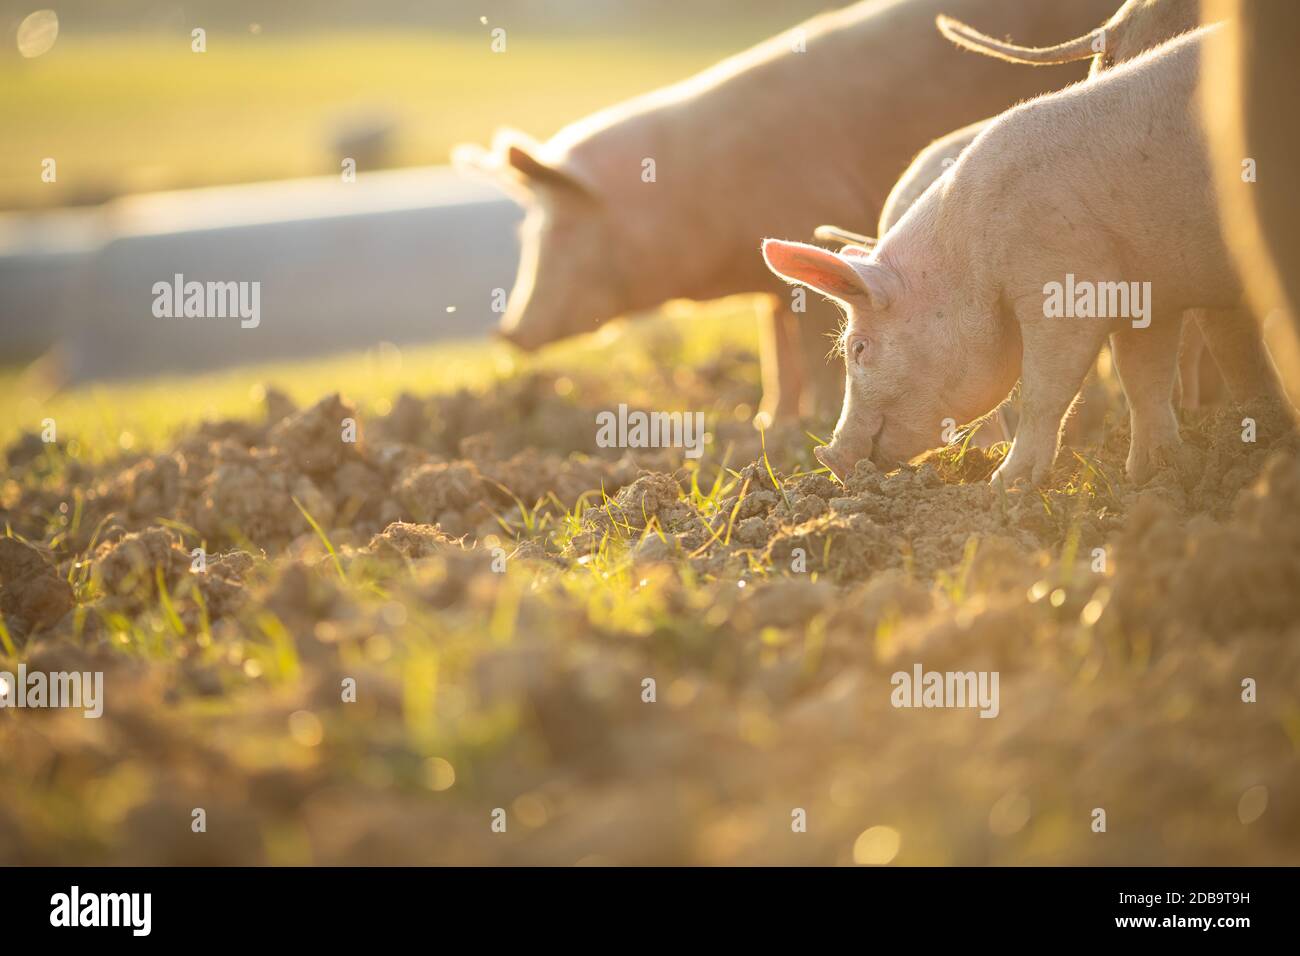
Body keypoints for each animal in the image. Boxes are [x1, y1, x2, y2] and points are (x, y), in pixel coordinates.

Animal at [455, 0, 1118, 426]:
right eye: (527, 228)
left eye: (563, 228)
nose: (507, 331)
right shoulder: (768, 282)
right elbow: (775, 347)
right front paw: (766, 425)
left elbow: (807, 344)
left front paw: (807, 422)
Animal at [764, 25, 1252, 488]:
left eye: (858, 348)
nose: (827, 457)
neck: (969, 261)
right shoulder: (1147, 300)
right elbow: (1144, 378)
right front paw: (1153, 476)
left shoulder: (1066, 283)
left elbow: (1042, 390)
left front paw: (1005, 487)